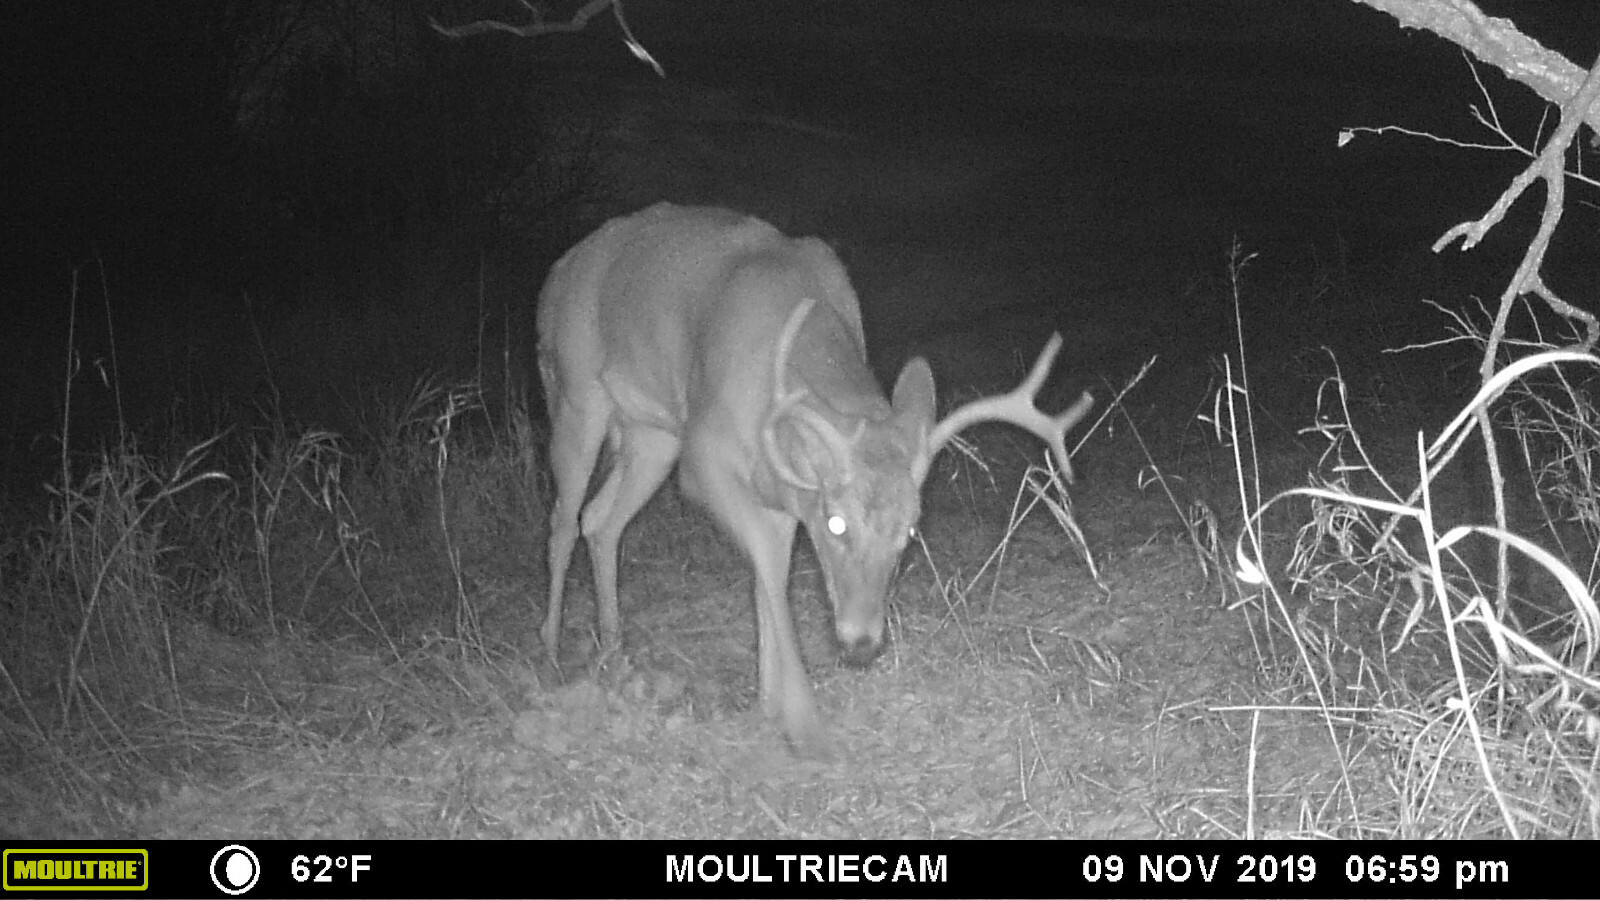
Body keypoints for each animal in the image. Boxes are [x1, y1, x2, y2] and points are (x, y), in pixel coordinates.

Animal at [536, 203, 1094, 755]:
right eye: (837, 524)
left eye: (911, 531)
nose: (861, 644)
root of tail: (560, 270)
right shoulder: (704, 460)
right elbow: (768, 565)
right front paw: (804, 724)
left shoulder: (782, 493)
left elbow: (769, 577)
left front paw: (769, 701)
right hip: (577, 394)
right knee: (563, 520)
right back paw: (551, 650)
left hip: (652, 435)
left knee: (601, 520)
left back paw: (613, 654)